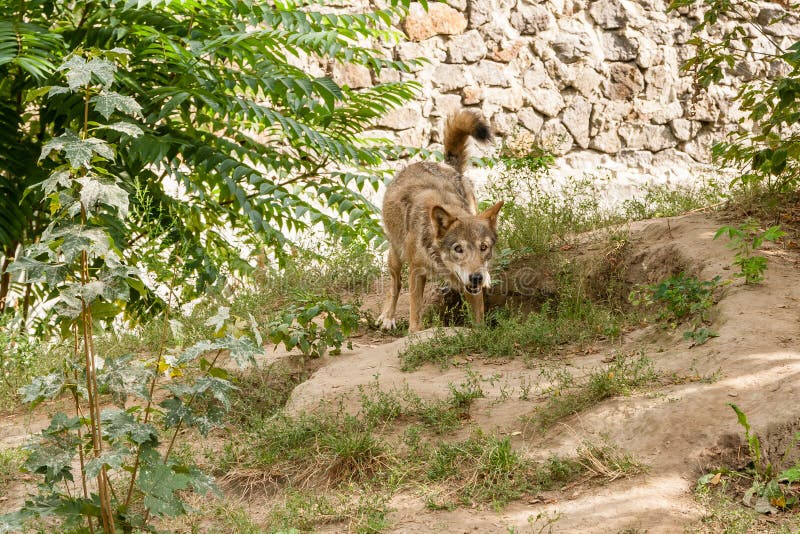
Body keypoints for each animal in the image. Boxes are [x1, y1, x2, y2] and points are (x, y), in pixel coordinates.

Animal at [377, 109, 503, 333]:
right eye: (458, 249)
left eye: (483, 247)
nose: (476, 277)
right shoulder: (417, 273)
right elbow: (415, 313)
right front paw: (414, 334)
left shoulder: (470, 286)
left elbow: (478, 317)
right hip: (396, 255)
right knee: (395, 284)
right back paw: (387, 317)